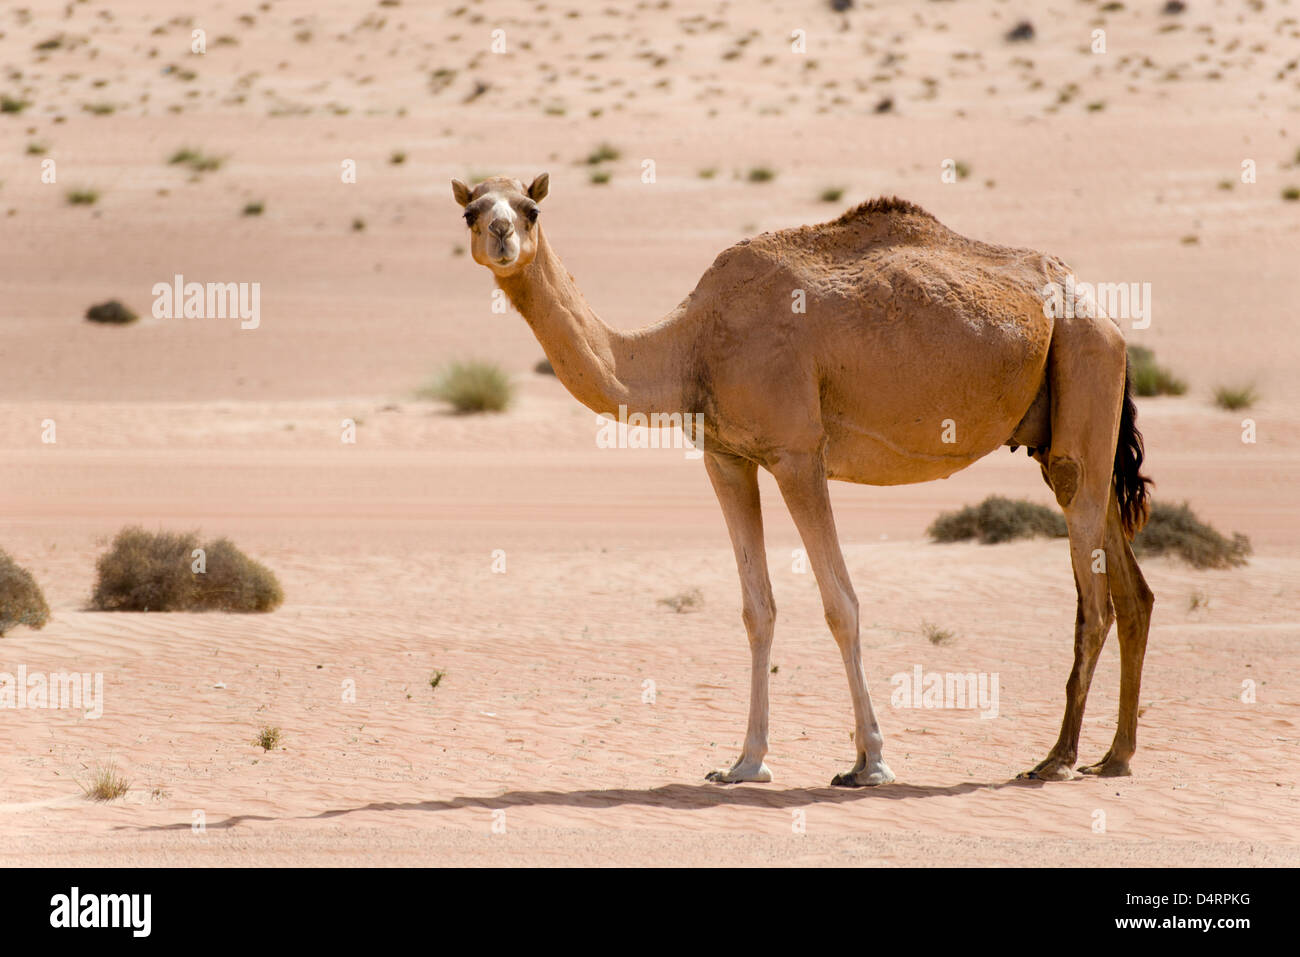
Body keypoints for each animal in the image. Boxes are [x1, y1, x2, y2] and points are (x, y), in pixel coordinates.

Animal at [452, 172, 1155, 786]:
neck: (692, 345)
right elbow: (756, 608)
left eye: (531, 208)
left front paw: (869, 763)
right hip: (1067, 425)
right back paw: (1115, 757)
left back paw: (1056, 759)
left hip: (1083, 369)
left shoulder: (797, 453)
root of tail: (1100, 312)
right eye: (471, 210)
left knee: (1094, 599)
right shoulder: (725, 457)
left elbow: (841, 604)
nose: (501, 235)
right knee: (1133, 591)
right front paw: (743, 764)